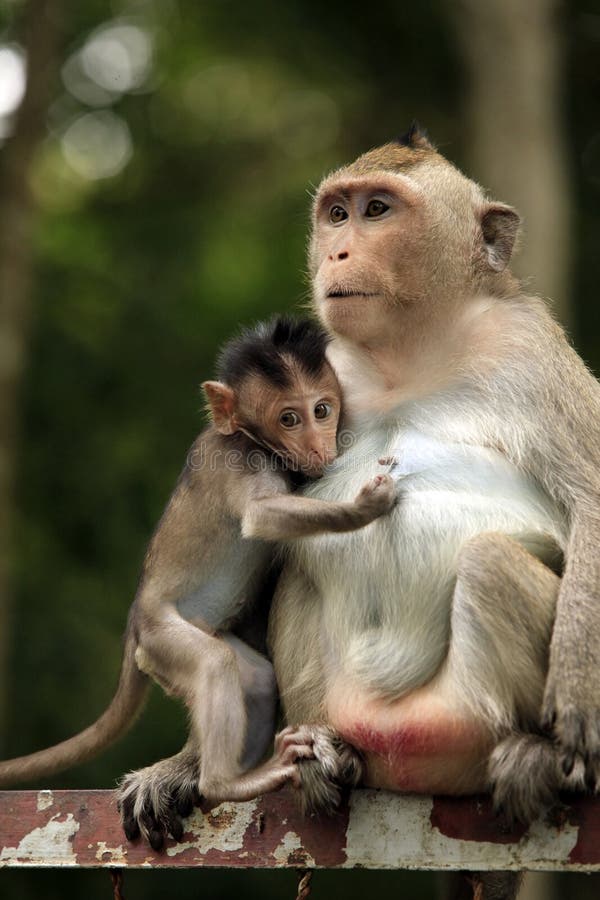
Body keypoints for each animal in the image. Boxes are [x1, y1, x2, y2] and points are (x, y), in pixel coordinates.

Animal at [0, 315, 396, 850]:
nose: (320, 446)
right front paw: (366, 506)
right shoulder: (241, 462)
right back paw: (224, 782)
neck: (251, 439)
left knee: (253, 677)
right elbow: (261, 516)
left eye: (322, 409)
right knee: (211, 664)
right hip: (164, 639)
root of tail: (134, 626)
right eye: (289, 419)